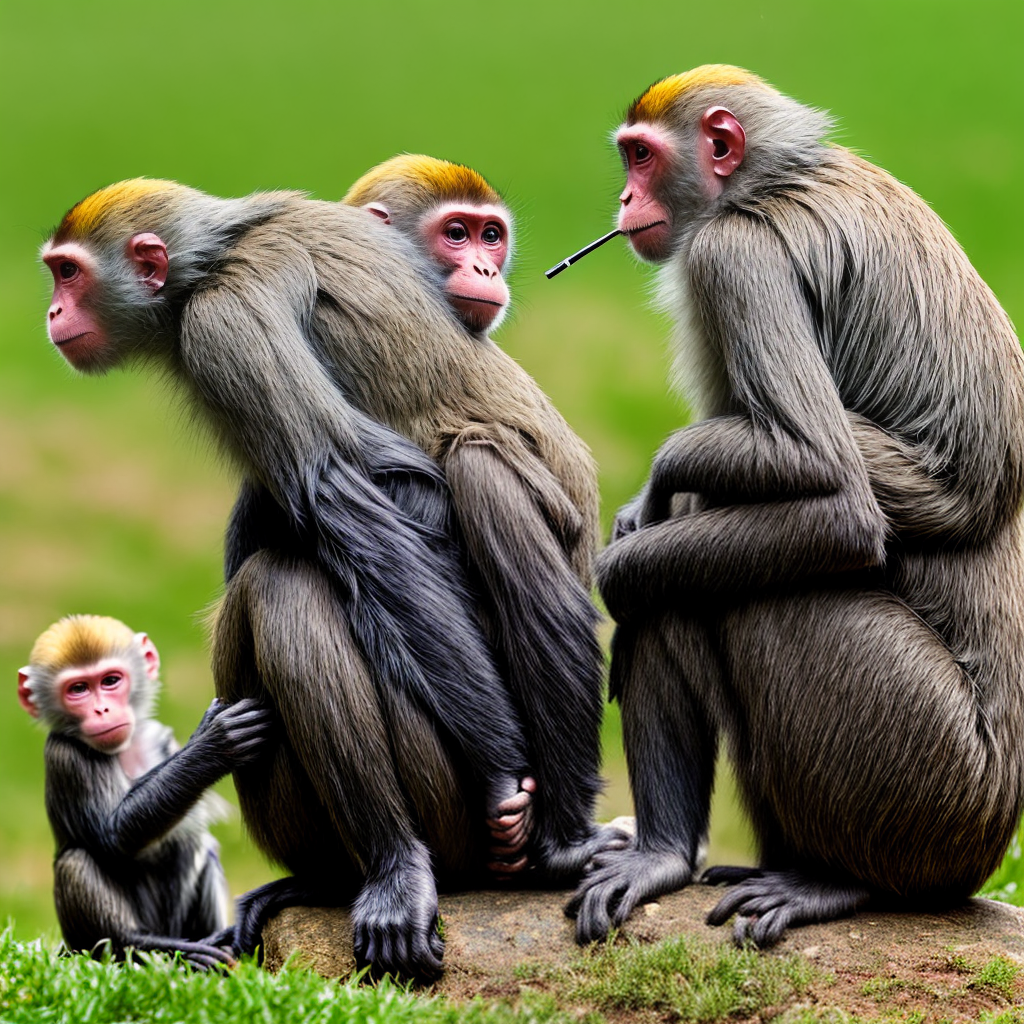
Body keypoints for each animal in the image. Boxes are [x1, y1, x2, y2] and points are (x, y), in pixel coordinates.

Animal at [17, 614, 274, 968]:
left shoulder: (158, 736)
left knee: (201, 846)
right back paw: (147, 946)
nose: (102, 711)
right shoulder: (64, 753)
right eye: (78, 689)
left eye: (110, 681)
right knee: (76, 861)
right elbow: (113, 837)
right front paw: (213, 744)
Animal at [565, 64, 1024, 949]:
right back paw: (680, 855)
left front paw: (638, 522)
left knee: (738, 577)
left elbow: (831, 494)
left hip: (935, 780)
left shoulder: (734, 260)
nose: (623, 203)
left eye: (641, 158)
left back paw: (831, 879)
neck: (766, 182)